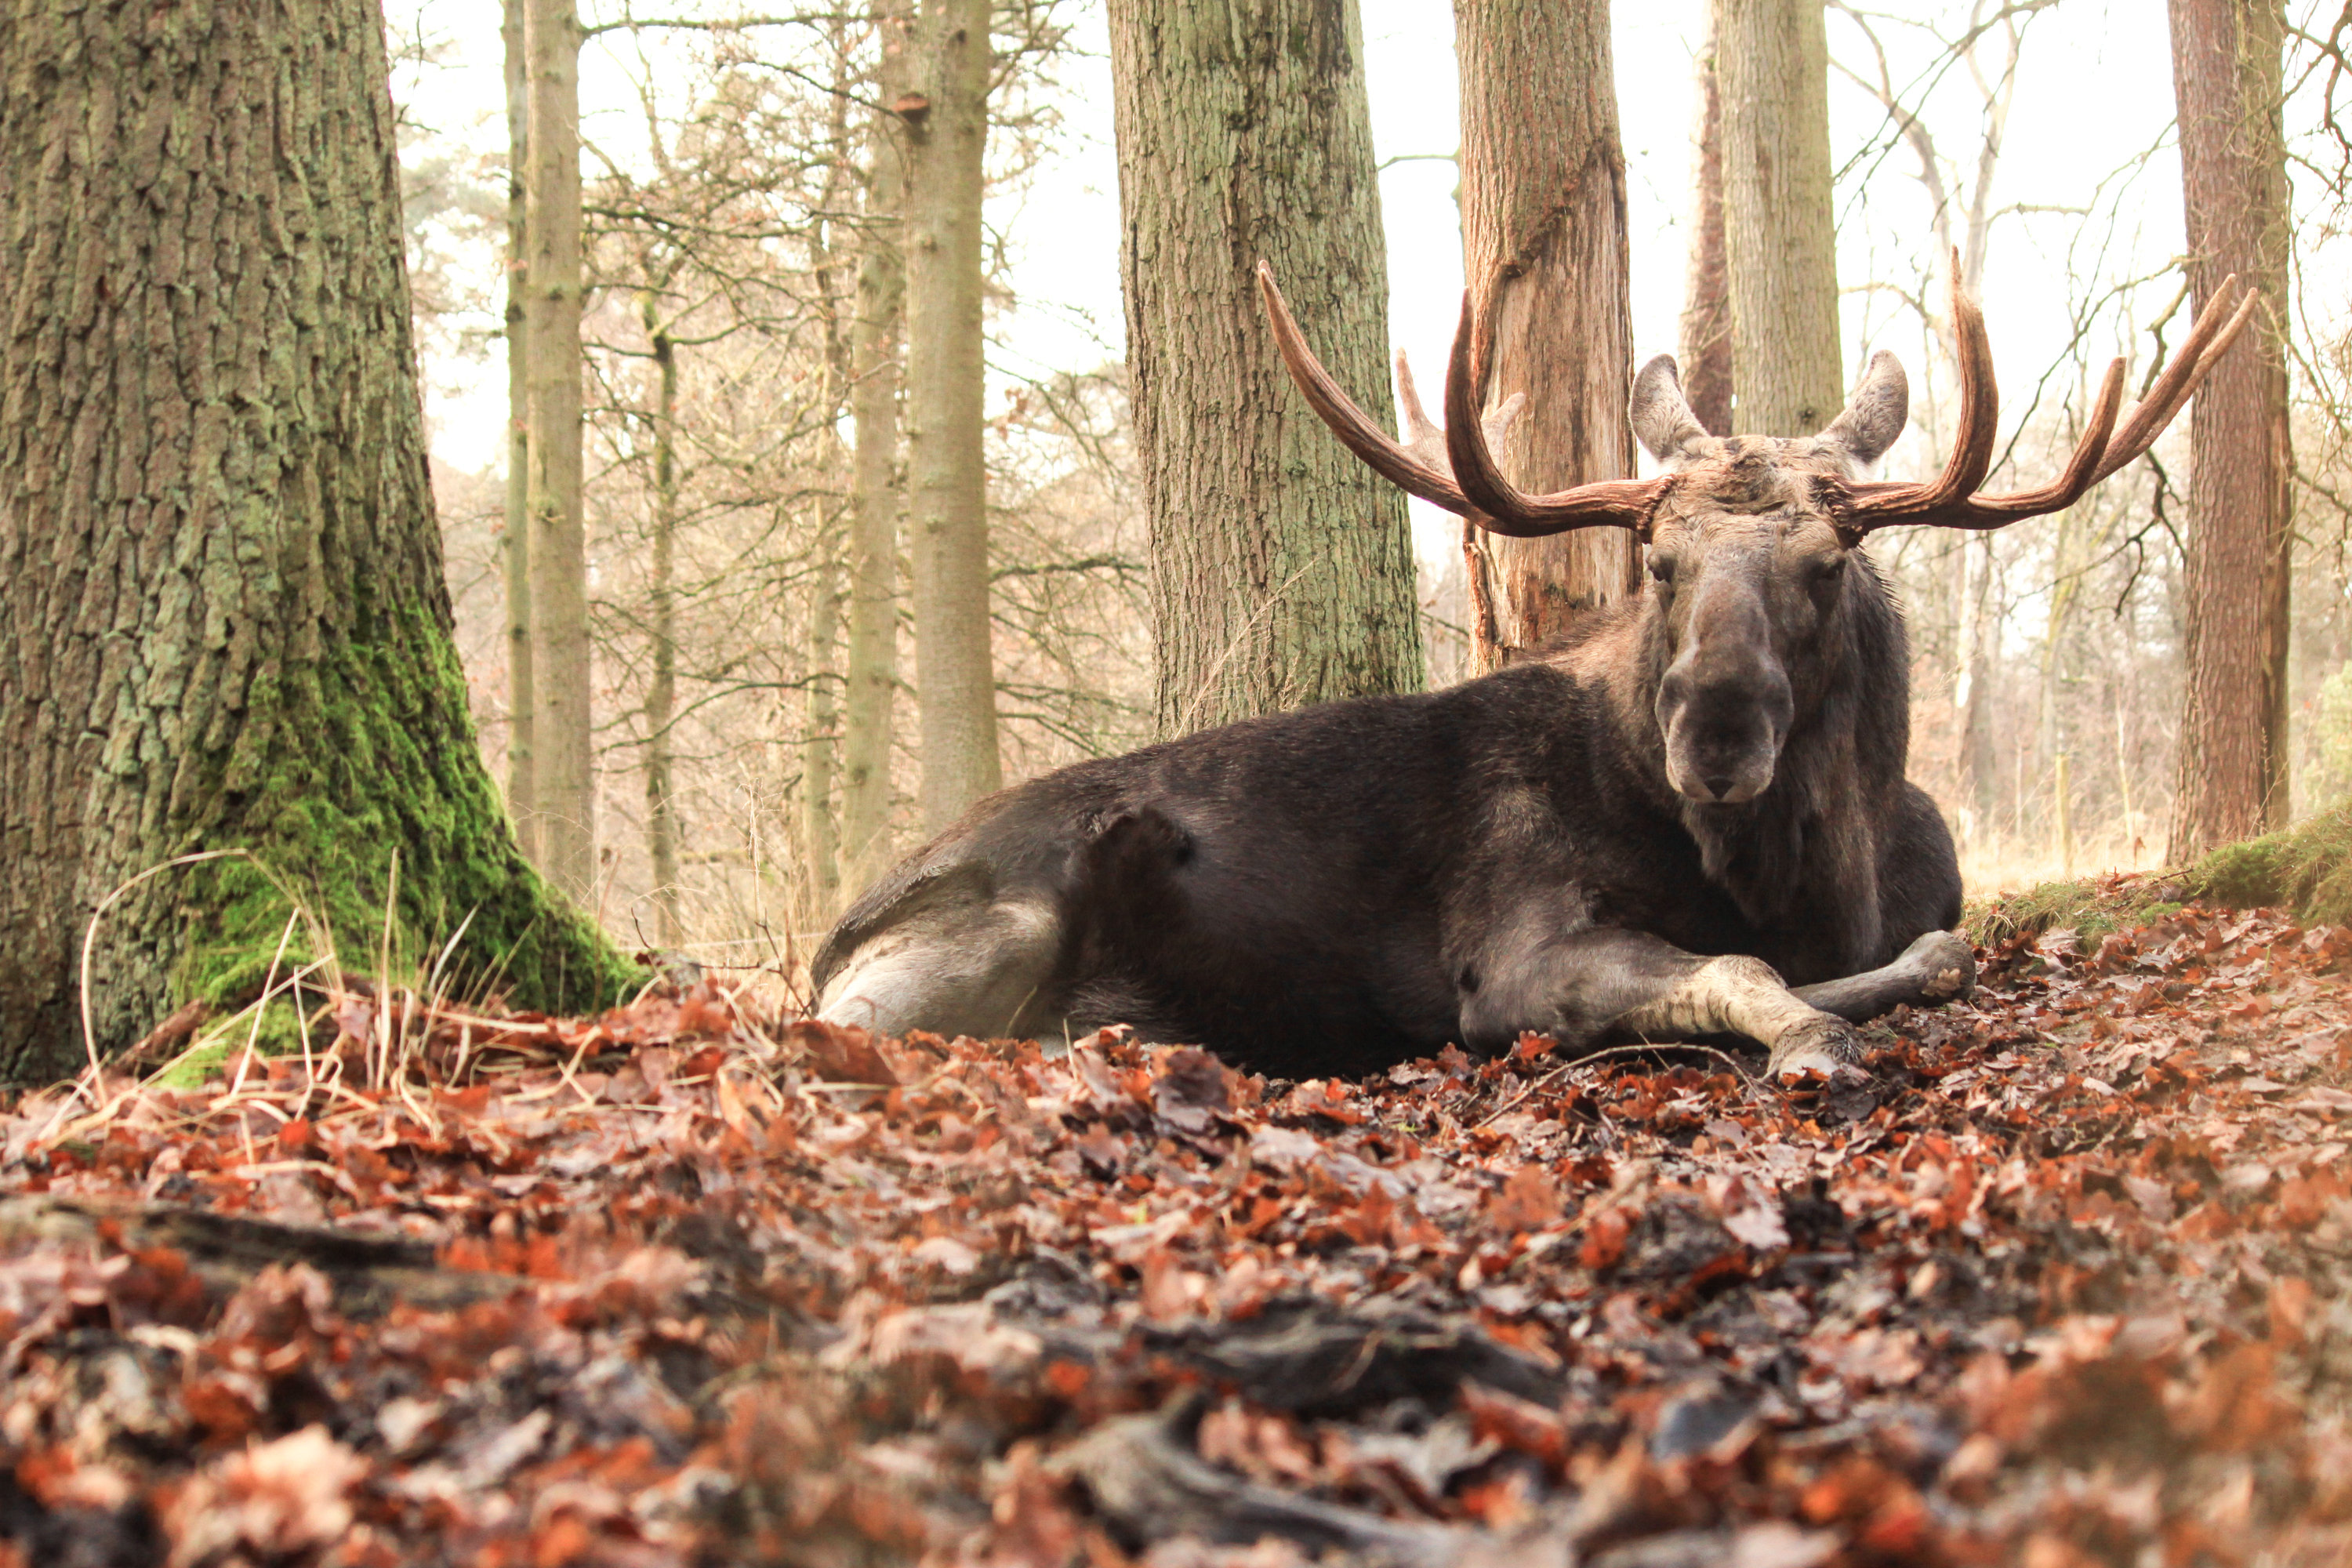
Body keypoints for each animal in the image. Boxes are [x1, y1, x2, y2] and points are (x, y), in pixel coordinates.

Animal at [810, 263, 2255, 1080]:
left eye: (1827, 566)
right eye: (1659, 562)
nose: (1713, 736)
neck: (1817, 872)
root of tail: (835, 929)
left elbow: (1935, 949)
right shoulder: (1511, 956)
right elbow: (1746, 976)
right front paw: (1809, 1042)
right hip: (978, 936)